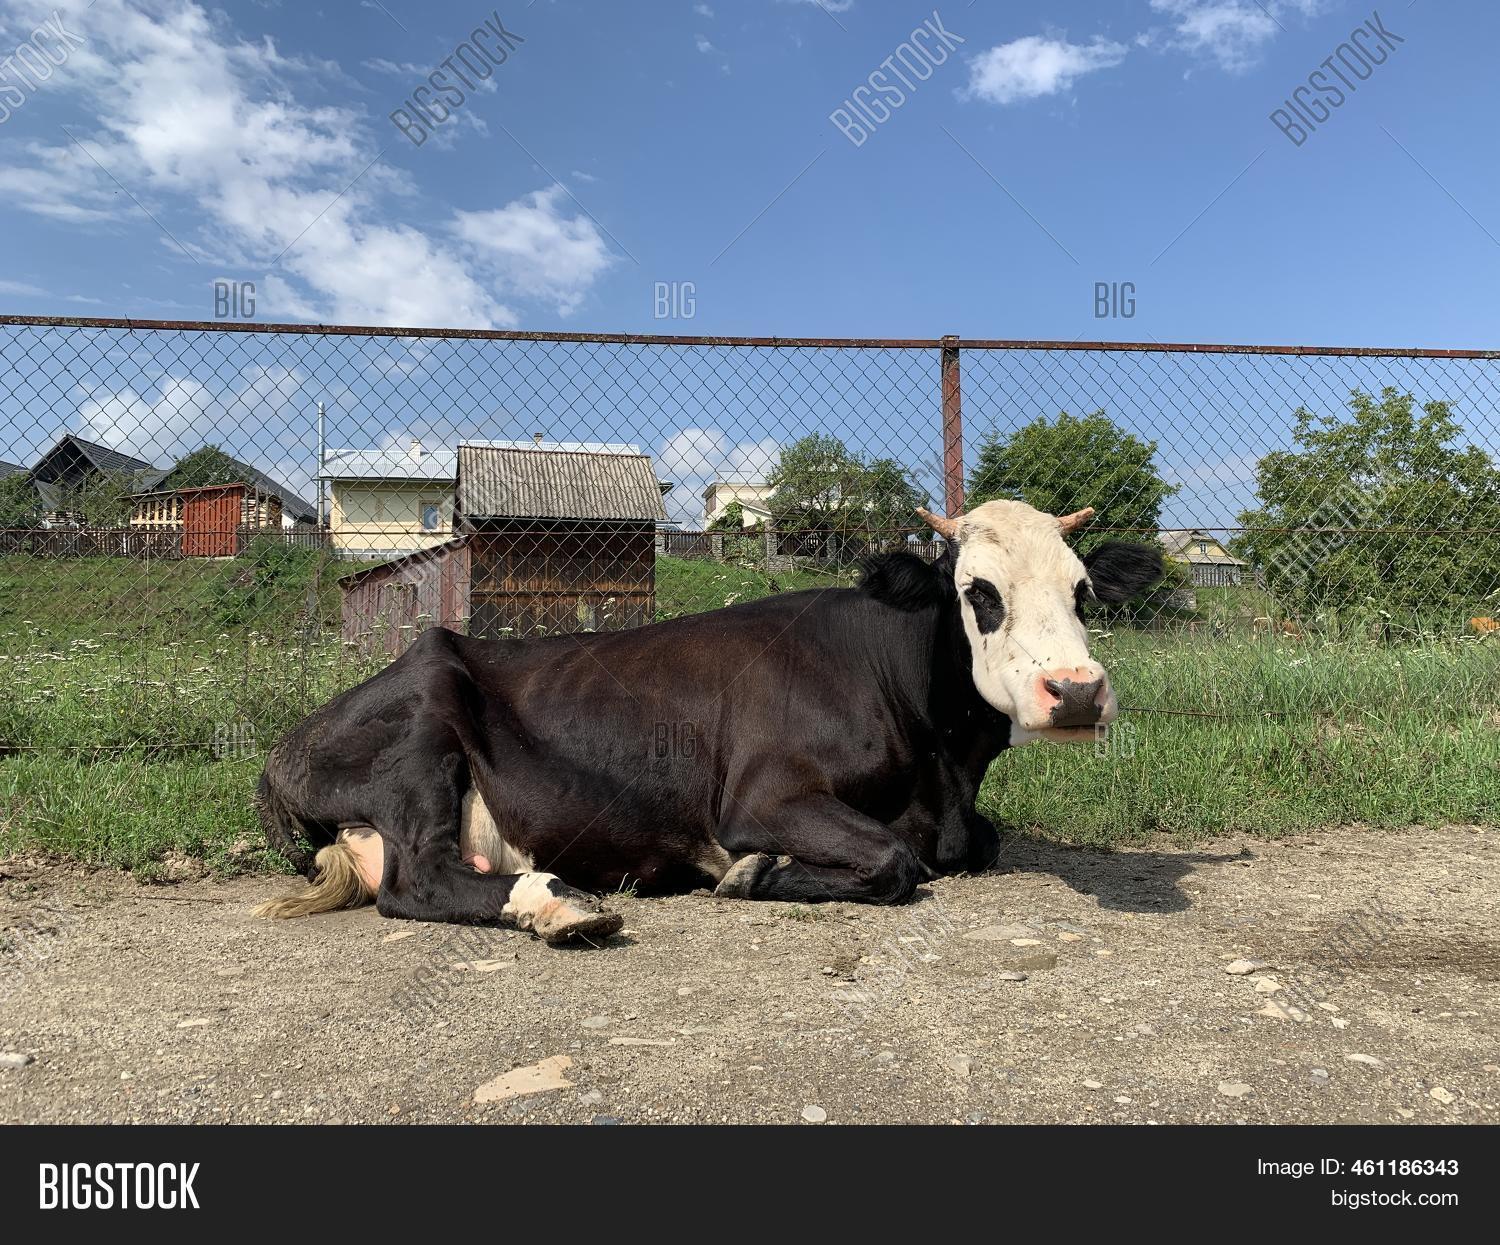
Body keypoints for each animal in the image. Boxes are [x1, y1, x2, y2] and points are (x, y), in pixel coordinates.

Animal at [253, 499, 1163, 943]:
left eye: (1082, 590)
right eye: (979, 590)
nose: (1077, 690)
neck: (944, 767)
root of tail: (285, 745)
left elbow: (982, 841)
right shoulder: (763, 796)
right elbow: (895, 860)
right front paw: (754, 873)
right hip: (424, 739)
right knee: (417, 882)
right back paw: (563, 905)